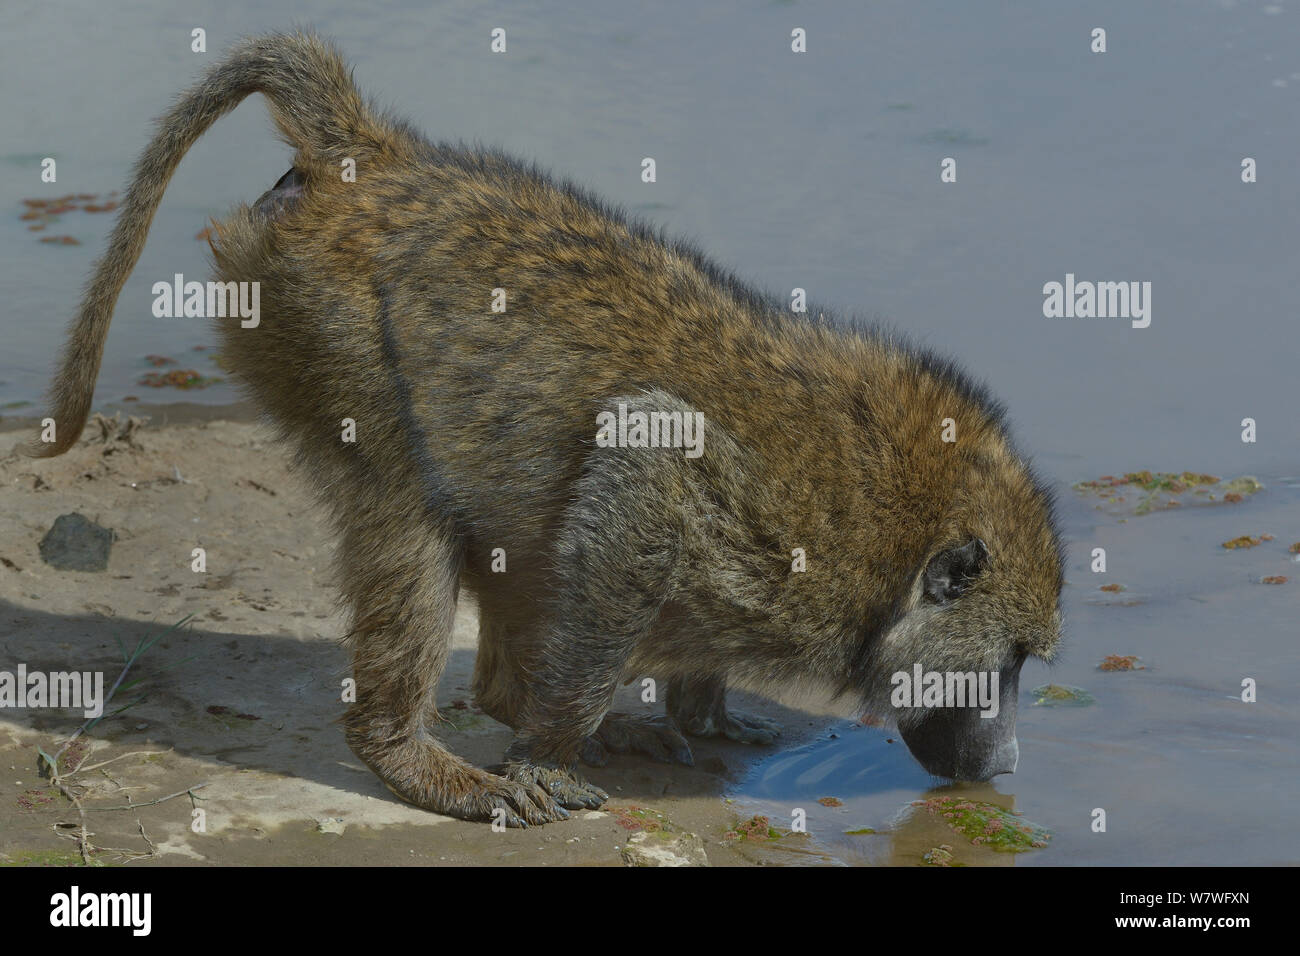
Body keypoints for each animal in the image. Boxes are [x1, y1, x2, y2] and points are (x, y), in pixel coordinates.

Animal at [27, 33, 1064, 826]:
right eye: (1008, 662)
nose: (1012, 763)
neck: (894, 535)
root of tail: (383, 160)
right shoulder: (772, 539)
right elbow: (647, 450)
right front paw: (545, 758)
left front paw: (703, 714)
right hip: (325, 324)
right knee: (412, 510)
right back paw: (413, 756)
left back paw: (520, 708)